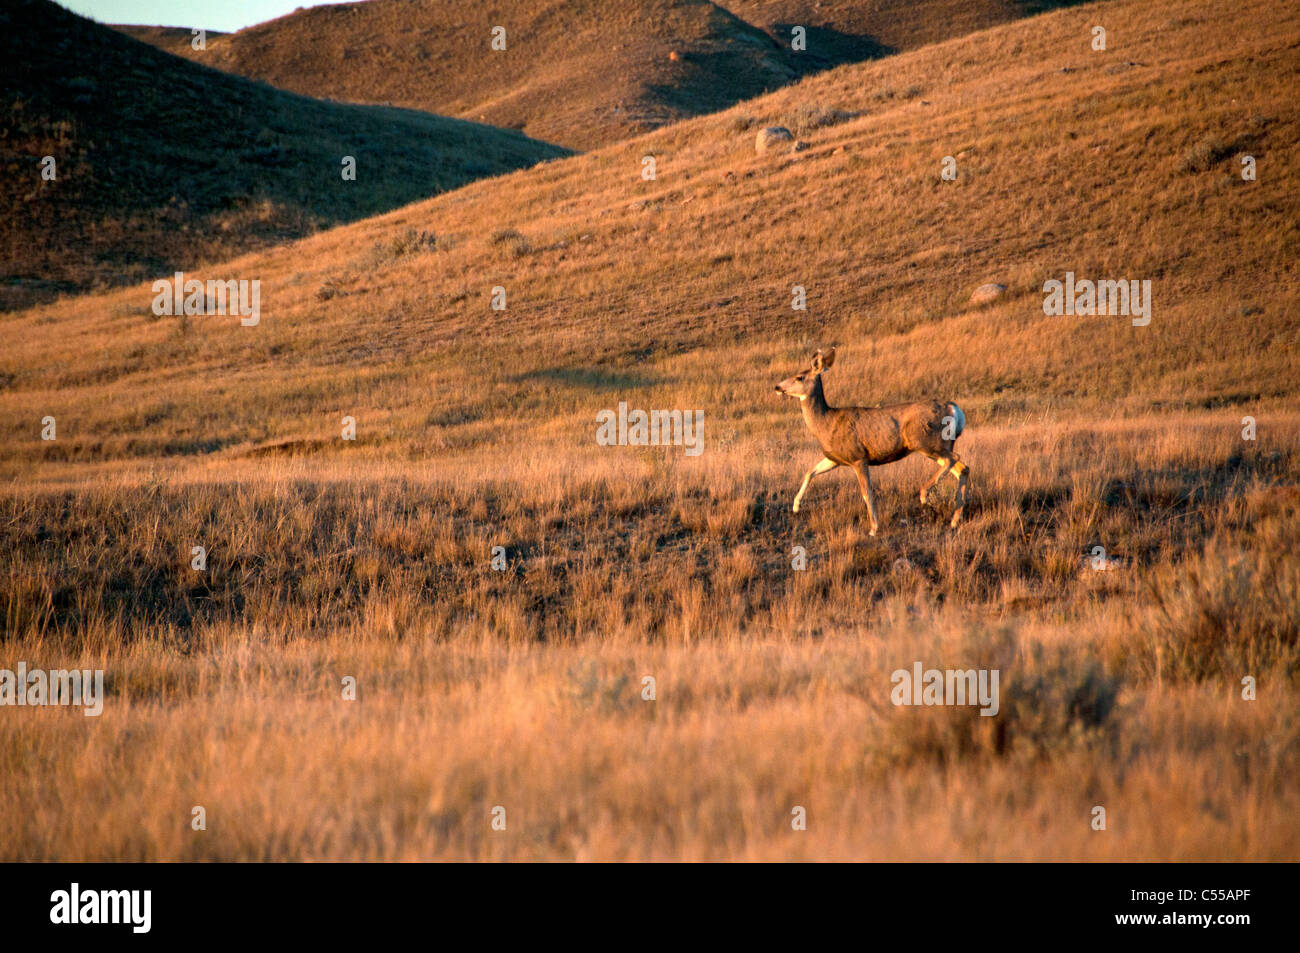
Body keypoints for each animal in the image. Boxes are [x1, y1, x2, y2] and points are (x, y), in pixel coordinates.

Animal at [773, 347, 969, 535]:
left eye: (799, 377)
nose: (777, 387)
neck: (826, 423)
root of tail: (954, 409)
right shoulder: (835, 458)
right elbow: (810, 472)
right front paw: (795, 506)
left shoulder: (858, 456)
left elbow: (866, 492)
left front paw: (873, 529)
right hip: (938, 445)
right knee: (962, 468)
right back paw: (954, 520)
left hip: (925, 441)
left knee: (954, 459)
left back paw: (924, 495)